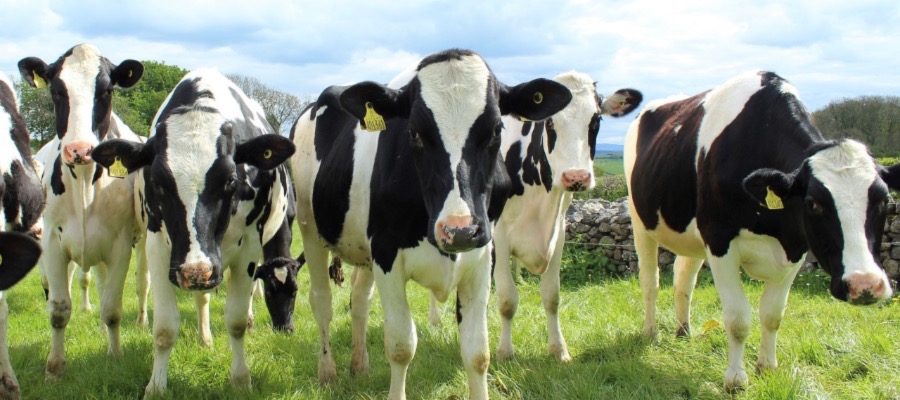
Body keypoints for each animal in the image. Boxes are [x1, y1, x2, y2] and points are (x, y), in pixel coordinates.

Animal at [17, 44, 147, 380]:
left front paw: (115, 355)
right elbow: (59, 308)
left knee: (141, 283)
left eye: (106, 91)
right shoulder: (51, 241)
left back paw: (139, 320)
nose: (79, 150)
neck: (86, 184)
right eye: (56, 91)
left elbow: (113, 307)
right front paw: (54, 367)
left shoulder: (121, 244)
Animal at [91, 68, 295, 396]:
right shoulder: (160, 249)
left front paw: (241, 380)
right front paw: (156, 386)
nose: (195, 271)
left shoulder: (250, 249)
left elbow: (236, 321)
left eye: (230, 179)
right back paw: (204, 336)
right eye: (158, 182)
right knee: (202, 298)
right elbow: (164, 327)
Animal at [290, 49, 572, 400]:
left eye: (496, 130)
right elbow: (401, 346)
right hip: (310, 229)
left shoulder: (482, 257)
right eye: (414, 132)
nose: (459, 229)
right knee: (322, 301)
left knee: (359, 302)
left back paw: (360, 365)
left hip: (362, 249)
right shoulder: (387, 255)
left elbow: (478, 352)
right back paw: (327, 372)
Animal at [488, 71, 640, 362]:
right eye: (549, 121)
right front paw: (504, 352)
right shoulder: (498, 234)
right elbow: (507, 299)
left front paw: (559, 350)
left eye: (596, 120)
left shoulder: (558, 232)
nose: (576, 176)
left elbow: (552, 296)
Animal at [624, 71, 899, 391]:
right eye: (813, 203)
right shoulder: (719, 240)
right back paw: (651, 332)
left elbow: (772, 314)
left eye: (884, 200)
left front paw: (767, 368)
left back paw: (683, 331)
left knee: (683, 278)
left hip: (691, 234)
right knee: (650, 282)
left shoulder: (796, 247)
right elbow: (737, 318)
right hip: (640, 221)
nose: (865, 284)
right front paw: (735, 380)